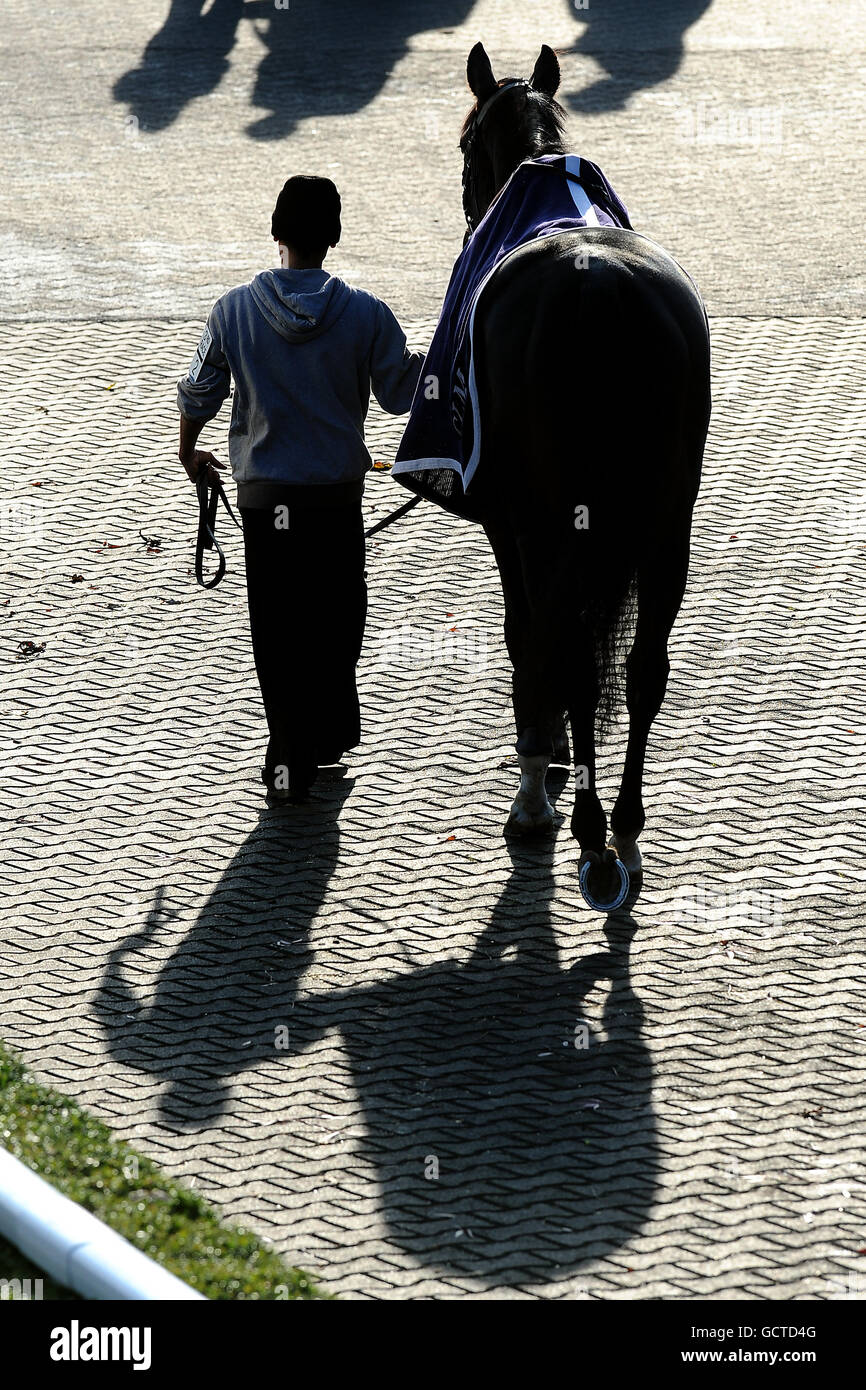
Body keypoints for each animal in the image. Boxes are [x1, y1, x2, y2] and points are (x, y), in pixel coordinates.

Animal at [458, 42, 712, 912]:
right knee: (642, 669)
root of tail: (596, 283)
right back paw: (623, 829)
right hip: (667, 523)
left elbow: (524, 637)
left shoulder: (510, 522)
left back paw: (586, 829)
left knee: (560, 642)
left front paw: (538, 781)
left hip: (552, 517)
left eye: (465, 147)